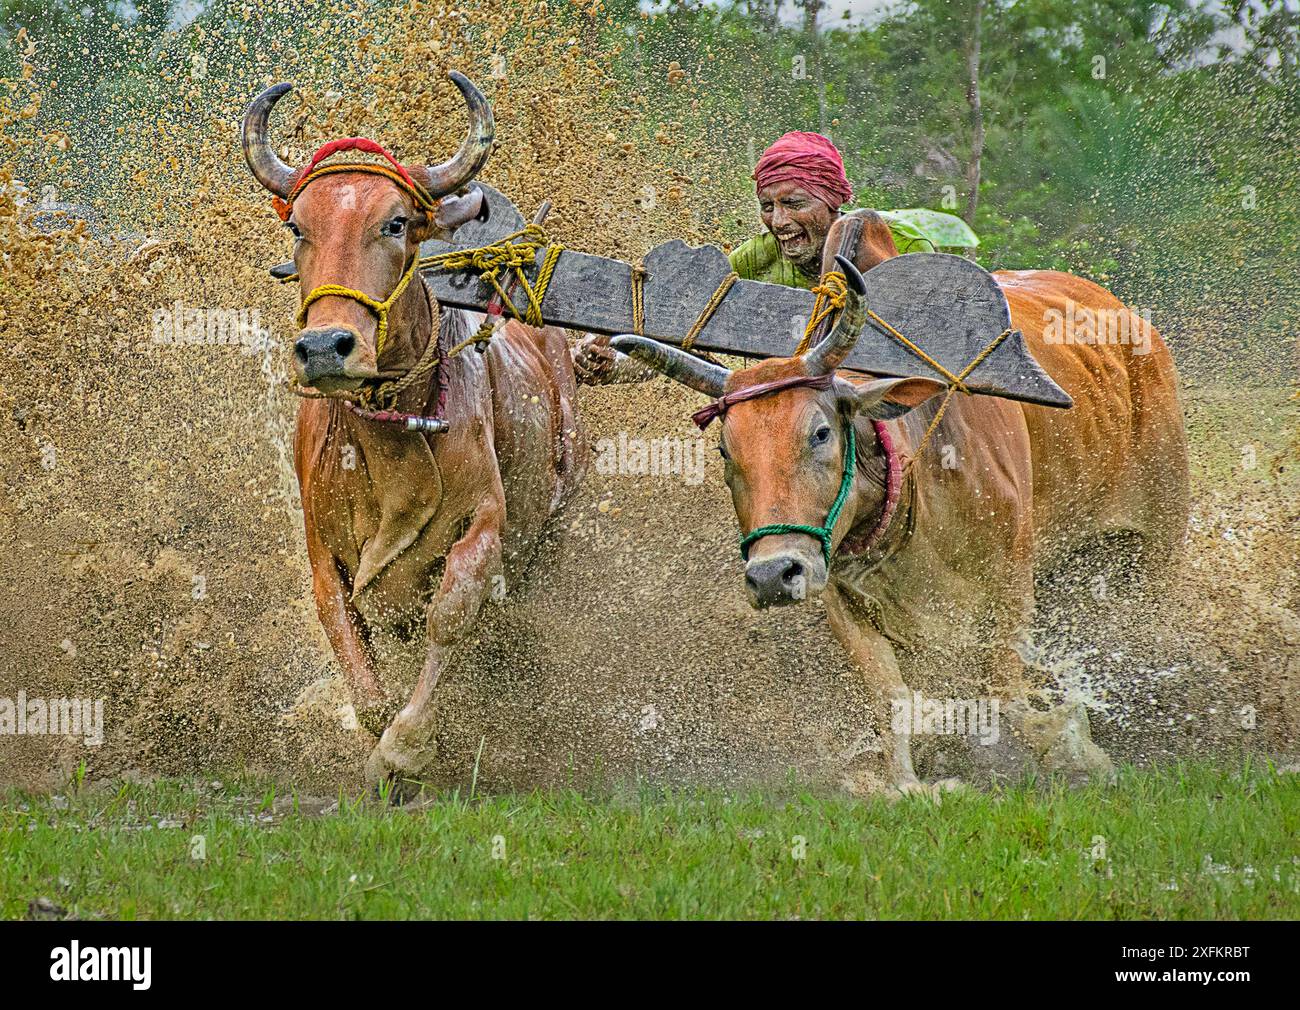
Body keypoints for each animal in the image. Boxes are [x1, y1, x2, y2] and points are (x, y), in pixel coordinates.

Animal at [242, 74, 586, 793]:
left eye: (395, 222)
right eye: (298, 226)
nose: (325, 347)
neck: (388, 441)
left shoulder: (485, 524)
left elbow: (451, 615)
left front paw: (405, 749)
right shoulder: (322, 554)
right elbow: (355, 662)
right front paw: (382, 744)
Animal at [612, 213, 1189, 794]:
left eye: (821, 432)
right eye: (725, 449)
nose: (772, 576)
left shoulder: (1010, 581)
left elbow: (1005, 690)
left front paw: (1055, 750)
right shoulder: (842, 601)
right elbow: (892, 700)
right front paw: (907, 783)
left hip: (1160, 534)